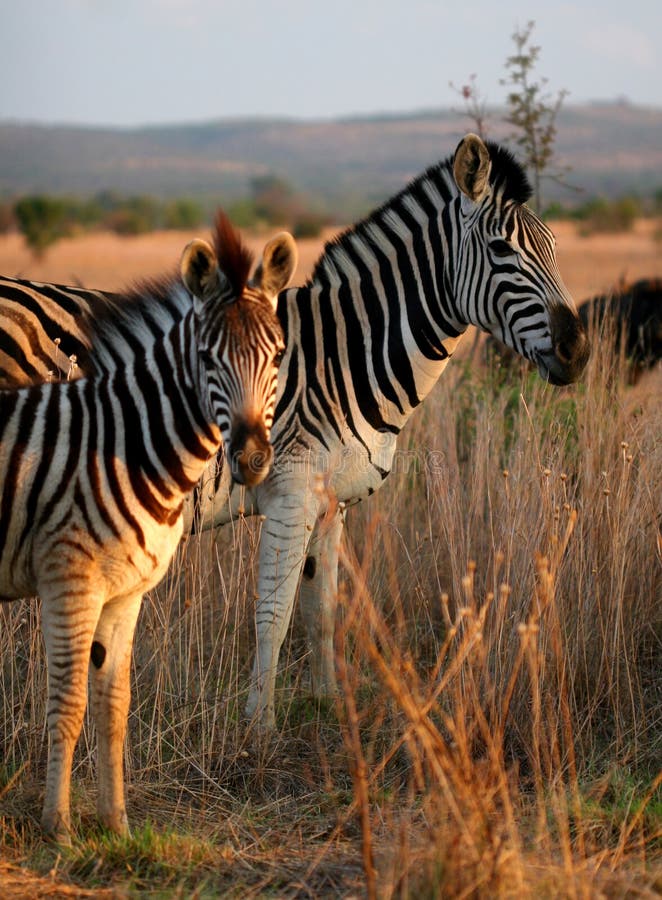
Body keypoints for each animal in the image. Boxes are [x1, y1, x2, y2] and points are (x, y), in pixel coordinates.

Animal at [0, 134, 589, 733]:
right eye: (501, 251)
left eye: (555, 248)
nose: (578, 351)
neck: (343, 356)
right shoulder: (291, 493)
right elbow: (274, 614)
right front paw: (259, 726)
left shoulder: (332, 502)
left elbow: (322, 609)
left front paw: (330, 705)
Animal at [0, 213, 296, 842]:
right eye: (207, 357)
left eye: (279, 354)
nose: (254, 459)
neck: (123, 442)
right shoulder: (68, 581)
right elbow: (69, 702)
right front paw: (59, 829)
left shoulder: (125, 592)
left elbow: (114, 707)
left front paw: (117, 826)